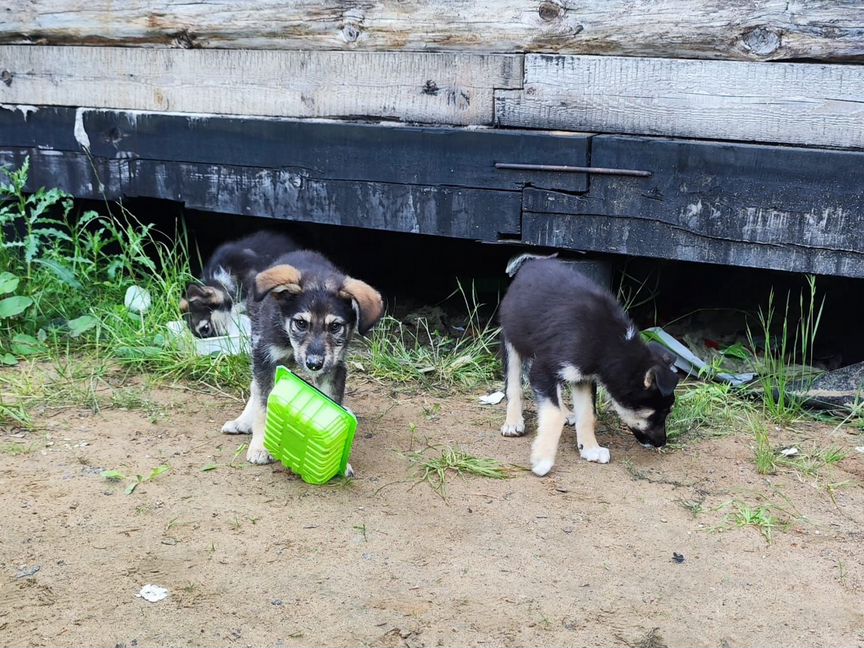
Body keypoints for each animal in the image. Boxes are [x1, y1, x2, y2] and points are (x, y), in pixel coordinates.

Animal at [221, 249, 384, 466]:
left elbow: (330, 401)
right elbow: (264, 404)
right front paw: (261, 446)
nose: (314, 364)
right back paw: (242, 422)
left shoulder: (333, 368)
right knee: (254, 387)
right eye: (300, 323)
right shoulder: (266, 358)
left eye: (335, 326)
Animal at [496, 258, 680, 476]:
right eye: (658, 414)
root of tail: (532, 262)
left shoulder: (583, 378)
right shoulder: (543, 370)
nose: (662, 443)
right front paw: (542, 459)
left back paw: (567, 413)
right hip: (512, 340)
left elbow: (587, 414)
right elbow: (553, 413)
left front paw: (590, 449)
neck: (610, 345)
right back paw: (513, 422)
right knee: (513, 384)